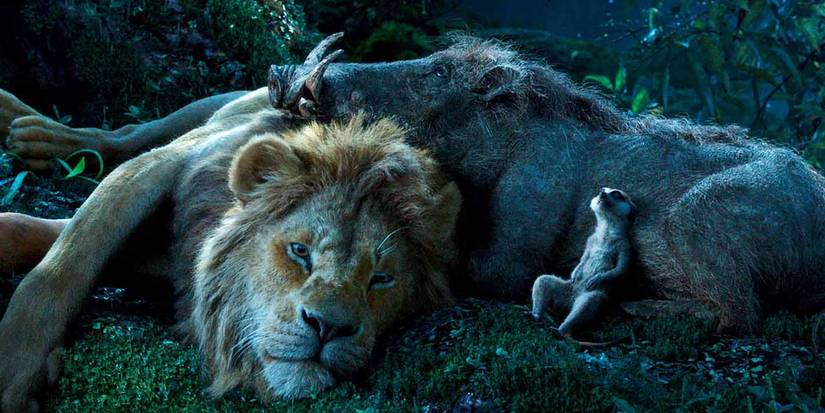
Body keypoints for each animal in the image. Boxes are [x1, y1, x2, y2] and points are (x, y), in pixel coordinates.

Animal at [0, 111, 461, 411]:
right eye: (300, 251)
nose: (328, 327)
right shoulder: (160, 166)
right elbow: (66, 259)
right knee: (129, 132)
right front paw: (15, 368)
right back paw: (34, 132)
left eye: (381, 279)